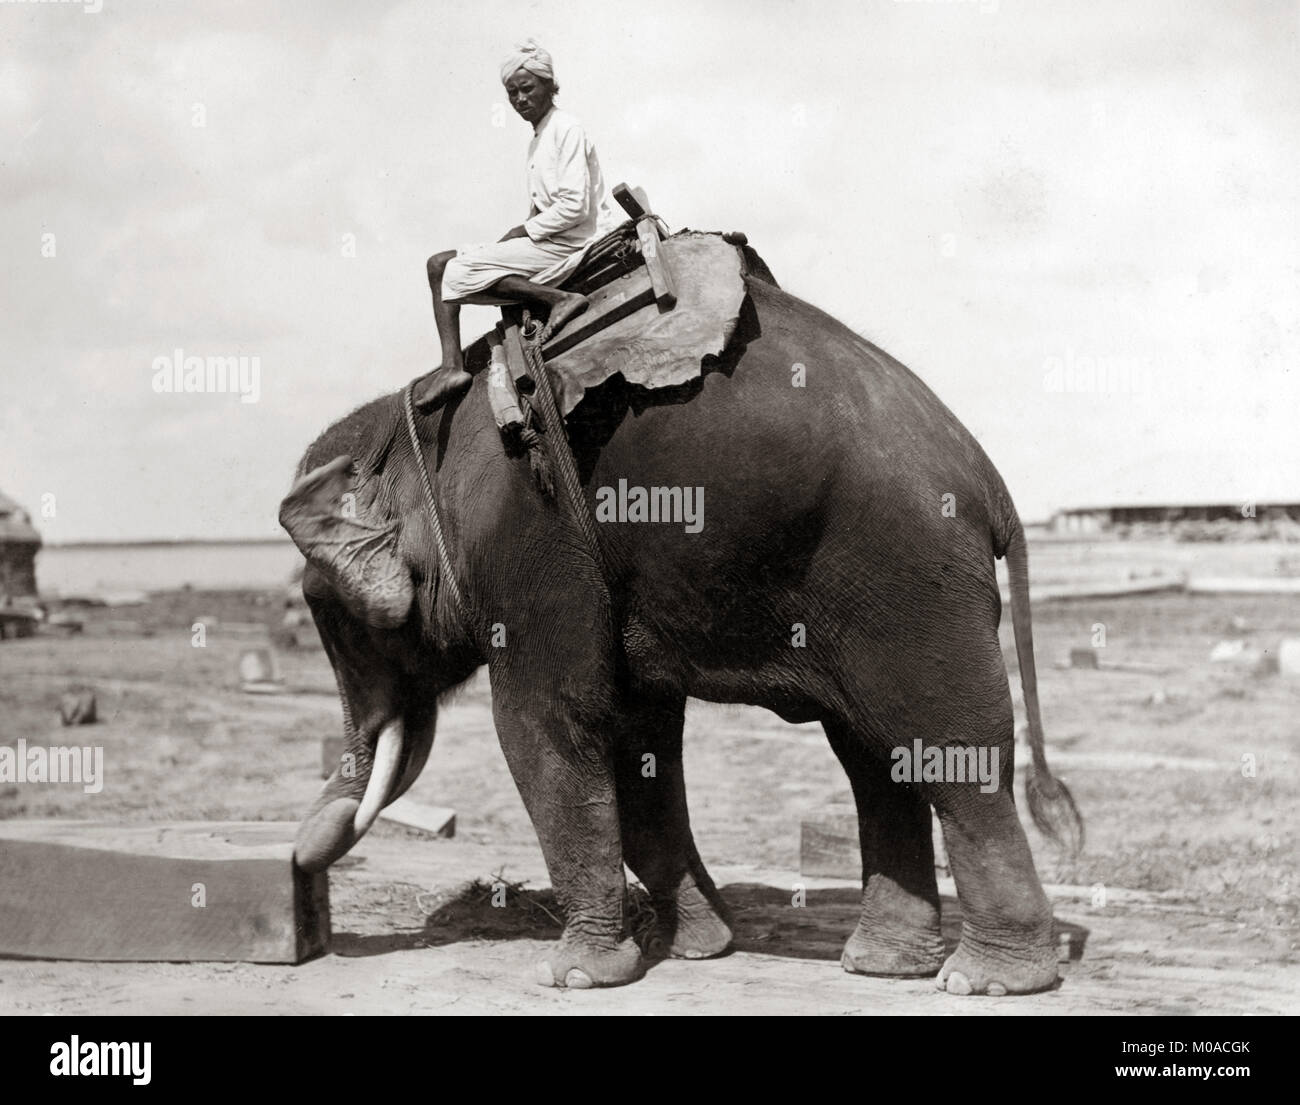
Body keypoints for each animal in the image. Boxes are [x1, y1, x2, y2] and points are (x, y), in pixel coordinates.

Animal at [279, 256, 1083, 995]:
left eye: (328, 612)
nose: (293, 863)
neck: (412, 430)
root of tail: (992, 484)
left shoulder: (532, 535)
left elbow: (548, 722)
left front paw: (575, 976)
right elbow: (640, 739)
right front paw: (698, 949)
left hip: (907, 574)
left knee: (947, 743)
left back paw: (987, 979)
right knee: (876, 754)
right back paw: (884, 966)